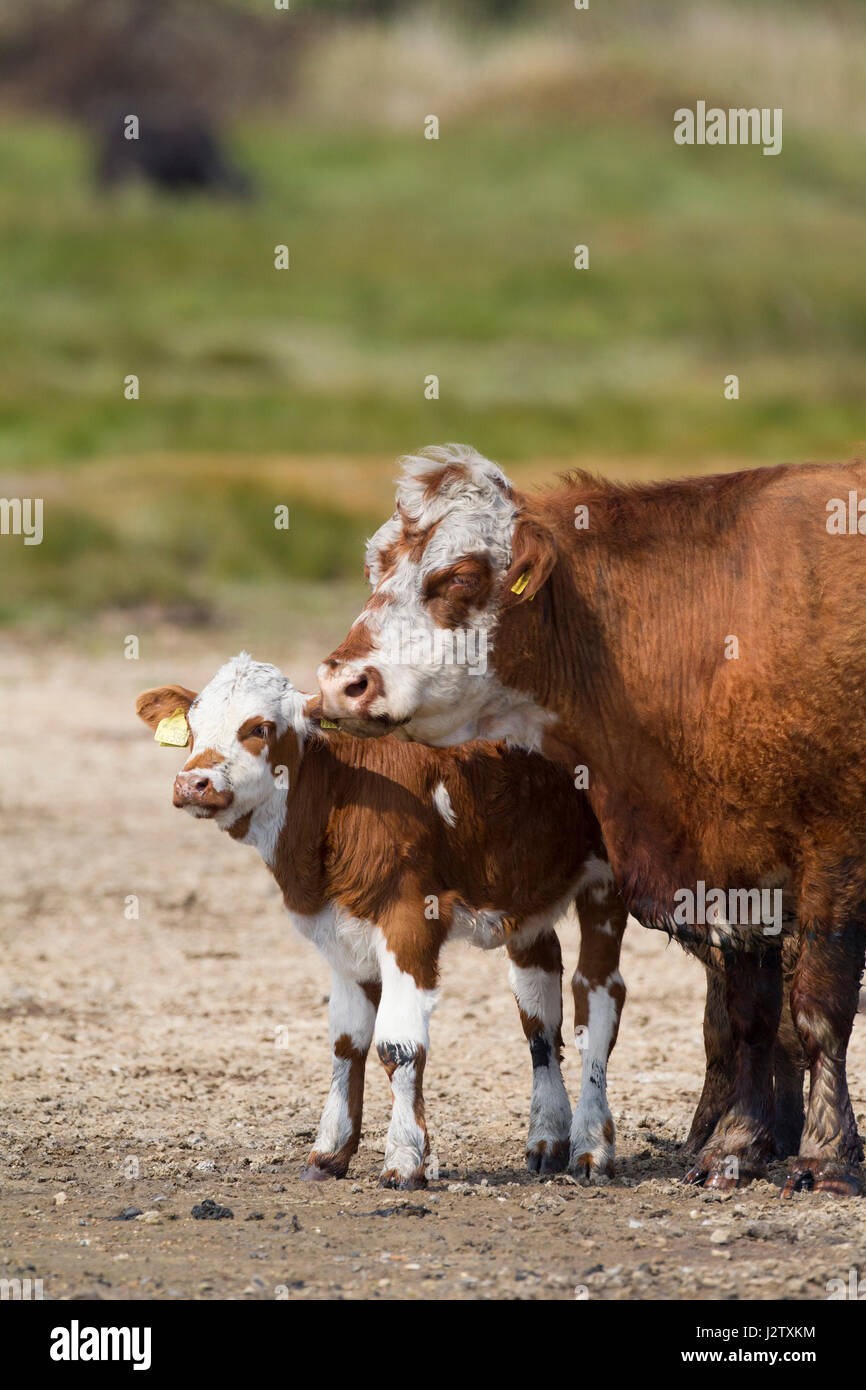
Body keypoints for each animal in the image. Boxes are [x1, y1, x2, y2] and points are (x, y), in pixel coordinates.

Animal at [136, 653, 630, 1188]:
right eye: (192, 726)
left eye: (260, 728)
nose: (192, 784)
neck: (341, 794)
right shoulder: (338, 933)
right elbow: (347, 1042)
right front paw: (329, 1152)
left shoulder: (409, 922)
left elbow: (398, 1046)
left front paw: (405, 1158)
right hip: (525, 891)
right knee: (538, 1006)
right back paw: (547, 1138)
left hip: (608, 881)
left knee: (597, 998)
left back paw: (590, 1146)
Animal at [317, 444, 865, 1196]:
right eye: (377, 567)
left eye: (460, 577)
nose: (340, 683)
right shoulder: (730, 860)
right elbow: (752, 1014)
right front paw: (738, 1145)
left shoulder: (834, 850)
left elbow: (817, 1009)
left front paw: (828, 1154)